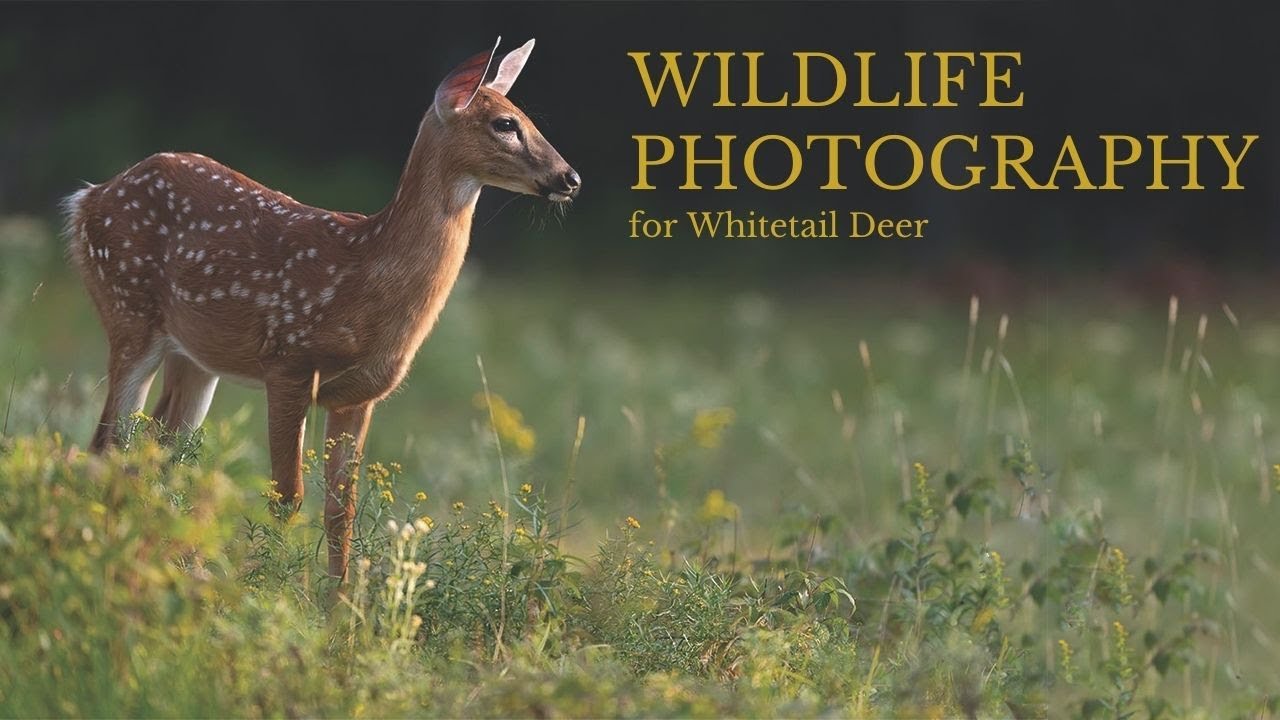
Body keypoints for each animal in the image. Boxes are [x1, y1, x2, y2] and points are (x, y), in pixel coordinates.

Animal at [61, 37, 580, 581]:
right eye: (505, 123)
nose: (570, 178)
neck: (363, 277)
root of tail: (88, 197)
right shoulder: (287, 360)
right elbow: (286, 499)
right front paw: (270, 591)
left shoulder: (358, 395)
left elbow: (340, 510)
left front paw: (340, 603)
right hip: (128, 309)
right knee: (106, 445)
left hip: (196, 357)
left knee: (155, 453)